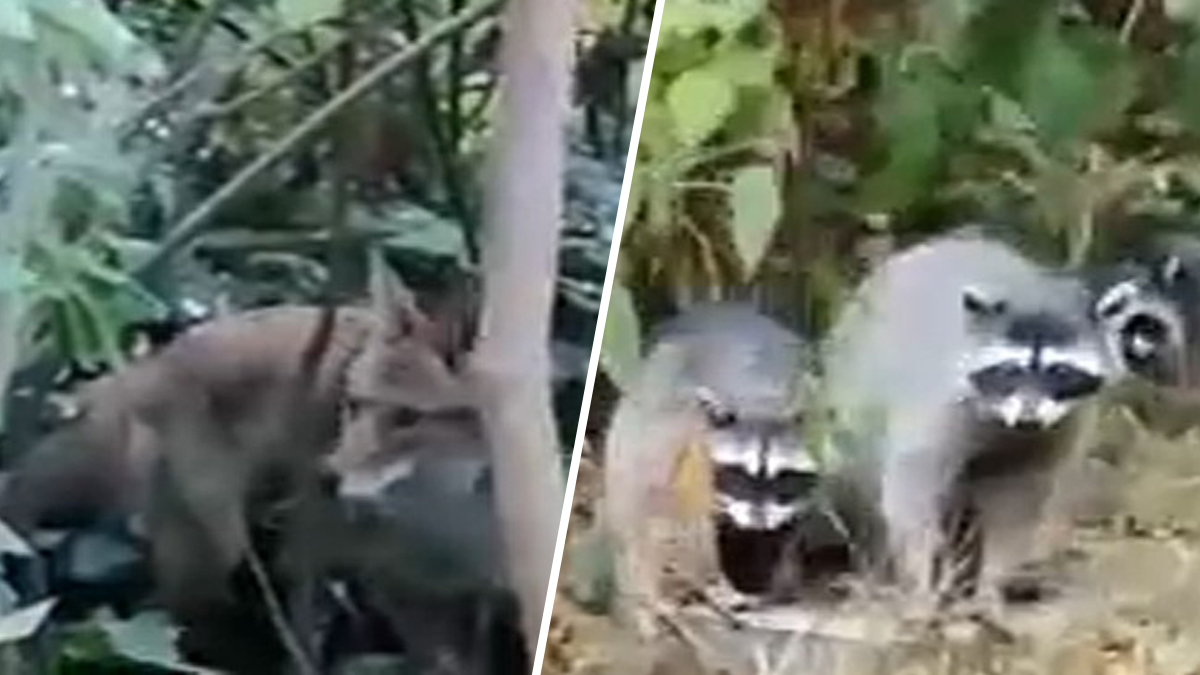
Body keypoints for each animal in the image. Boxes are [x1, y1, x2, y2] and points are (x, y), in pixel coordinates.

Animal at [822, 231, 1114, 606]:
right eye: (1010, 370)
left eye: (1060, 372)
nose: (1028, 419)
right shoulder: (942, 405)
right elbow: (911, 489)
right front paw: (922, 574)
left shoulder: (1058, 430)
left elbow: (1017, 501)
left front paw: (991, 581)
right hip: (851, 396)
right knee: (862, 474)